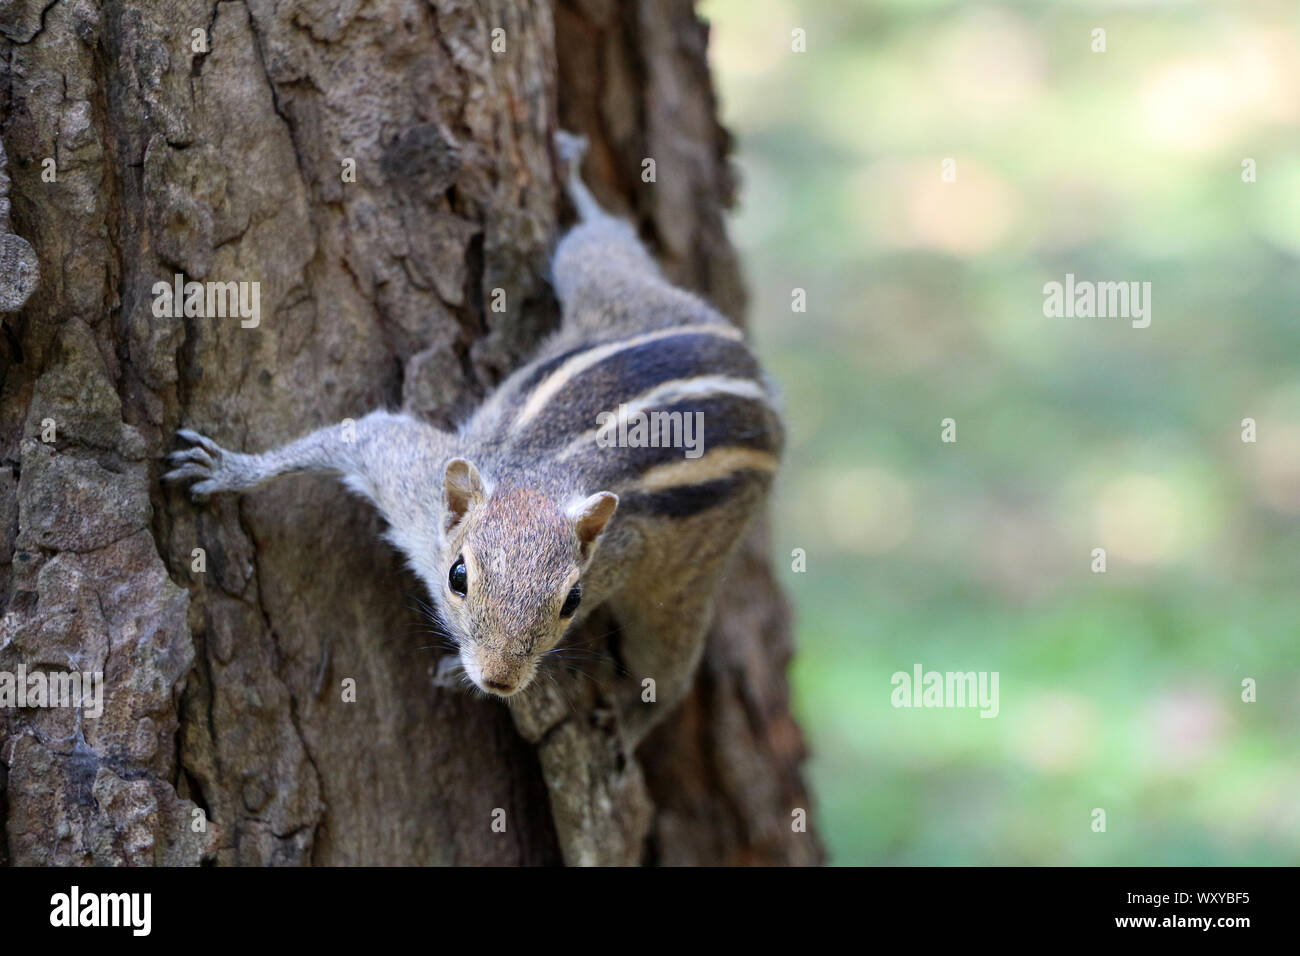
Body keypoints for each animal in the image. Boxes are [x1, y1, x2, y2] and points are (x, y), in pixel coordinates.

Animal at [165, 131, 783, 745]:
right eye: (458, 577)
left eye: (573, 601)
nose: (499, 680)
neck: (536, 481)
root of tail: (754, 375)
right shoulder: (406, 475)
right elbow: (354, 435)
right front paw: (228, 468)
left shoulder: (621, 552)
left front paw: (456, 676)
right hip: (621, 294)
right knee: (600, 246)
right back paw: (578, 183)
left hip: (689, 576)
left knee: (671, 668)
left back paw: (630, 727)